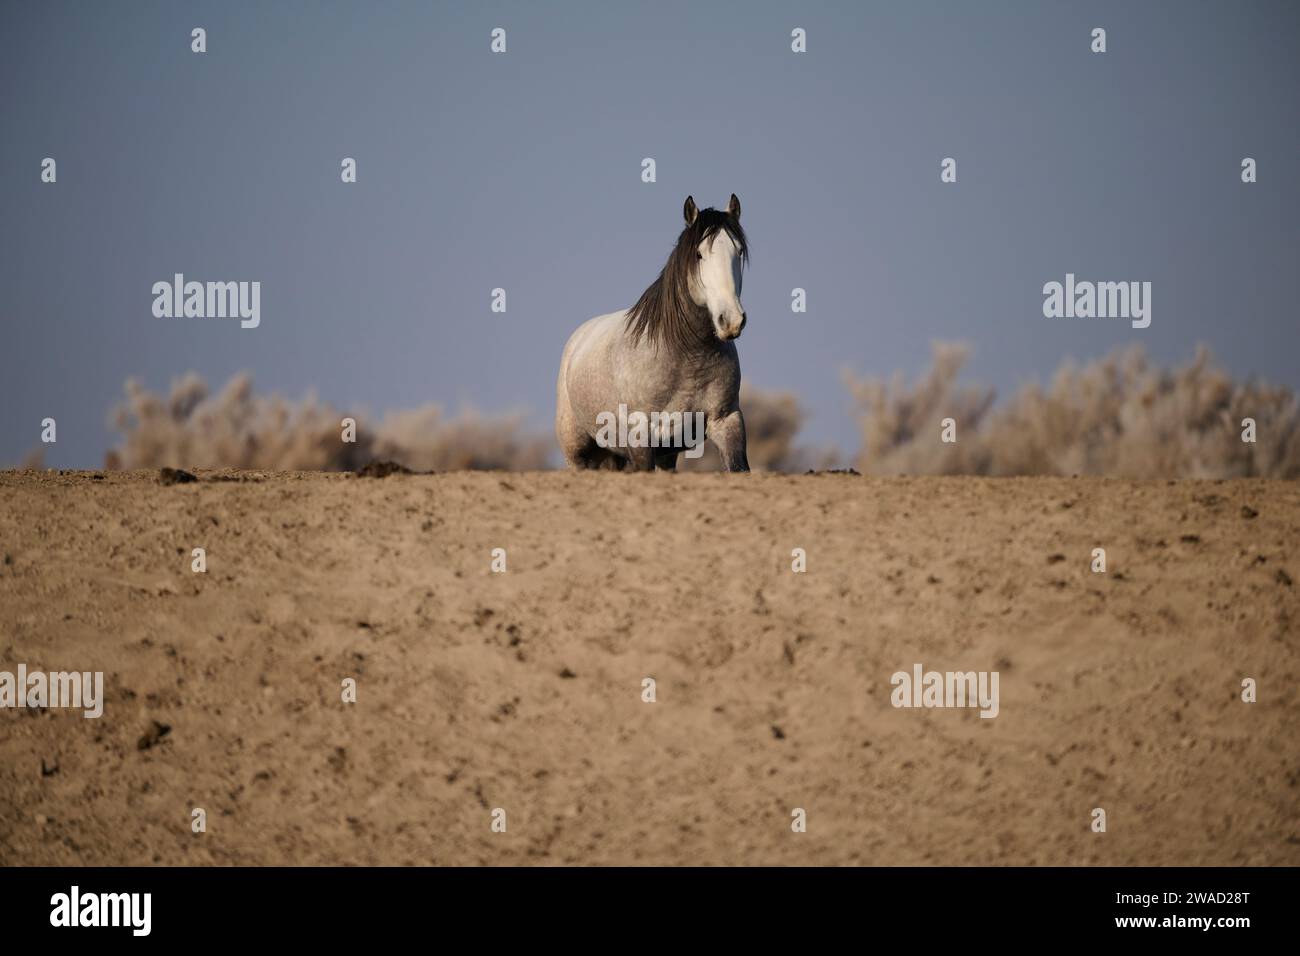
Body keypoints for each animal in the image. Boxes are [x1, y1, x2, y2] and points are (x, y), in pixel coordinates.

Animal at [556, 194, 750, 472]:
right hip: (577, 454)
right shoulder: (640, 440)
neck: (687, 357)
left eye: (739, 251)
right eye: (699, 254)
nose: (731, 320)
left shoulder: (727, 422)